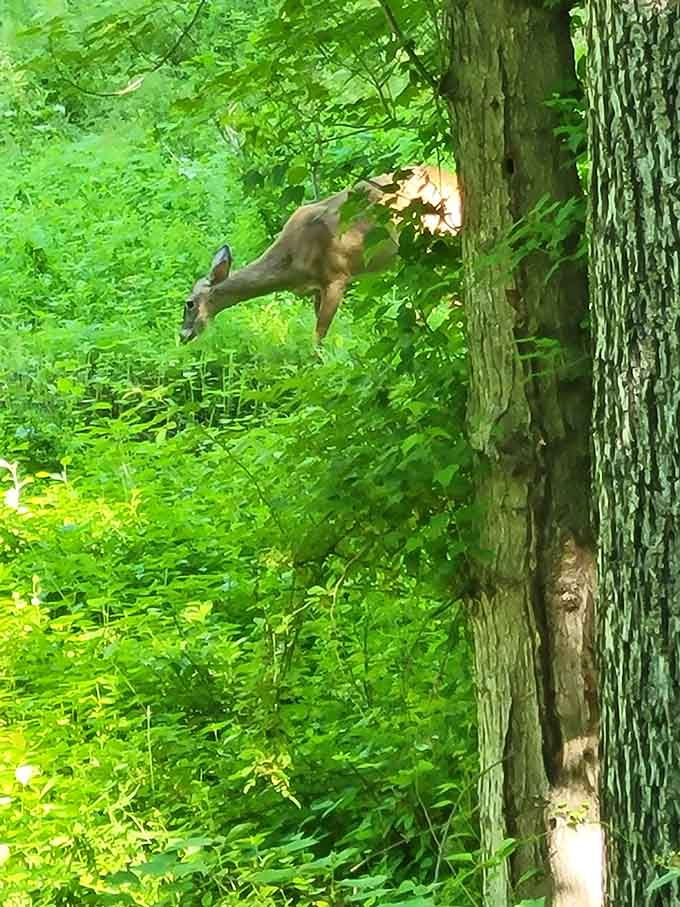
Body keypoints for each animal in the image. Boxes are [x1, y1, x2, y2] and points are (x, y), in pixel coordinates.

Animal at [179, 165, 462, 345]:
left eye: (189, 303)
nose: (182, 336)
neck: (291, 264)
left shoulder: (337, 275)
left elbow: (318, 335)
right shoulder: (315, 288)